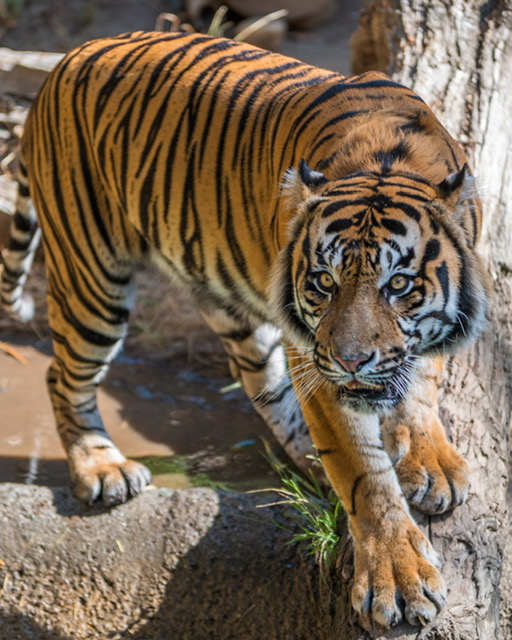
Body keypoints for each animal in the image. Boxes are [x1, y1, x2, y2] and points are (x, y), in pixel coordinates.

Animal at [0, 31, 489, 629]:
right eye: (324, 282)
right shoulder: (315, 359)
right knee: (61, 375)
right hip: (92, 274)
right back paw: (102, 468)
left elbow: (421, 384)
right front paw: (398, 578)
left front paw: (432, 463)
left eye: (398, 284)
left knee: (264, 387)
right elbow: (363, 474)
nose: (350, 360)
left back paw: (309, 462)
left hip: (225, 299)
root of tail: (67, 59)